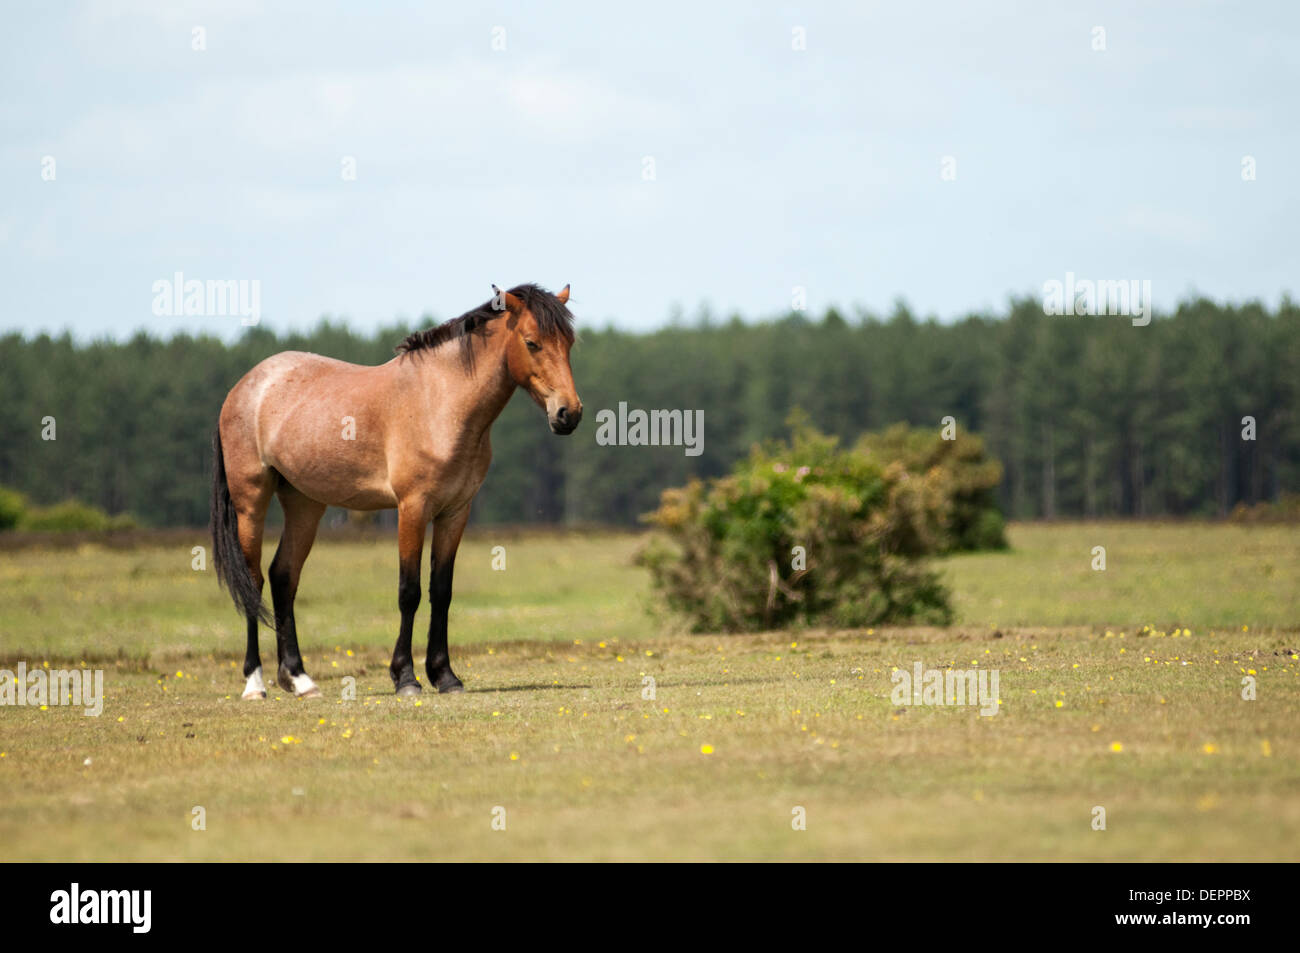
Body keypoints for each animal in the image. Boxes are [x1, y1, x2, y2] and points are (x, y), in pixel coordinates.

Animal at [209, 282, 581, 700]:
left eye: (568, 342)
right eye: (532, 342)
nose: (568, 414)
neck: (440, 402)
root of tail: (245, 387)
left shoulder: (455, 512)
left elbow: (441, 591)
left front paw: (445, 676)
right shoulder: (412, 509)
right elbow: (410, 591)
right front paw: (406, 677)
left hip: (305, 504)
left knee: (283, 577)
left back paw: (299, 679)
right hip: (251, 503)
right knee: (253, 581)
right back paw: (255, 683)